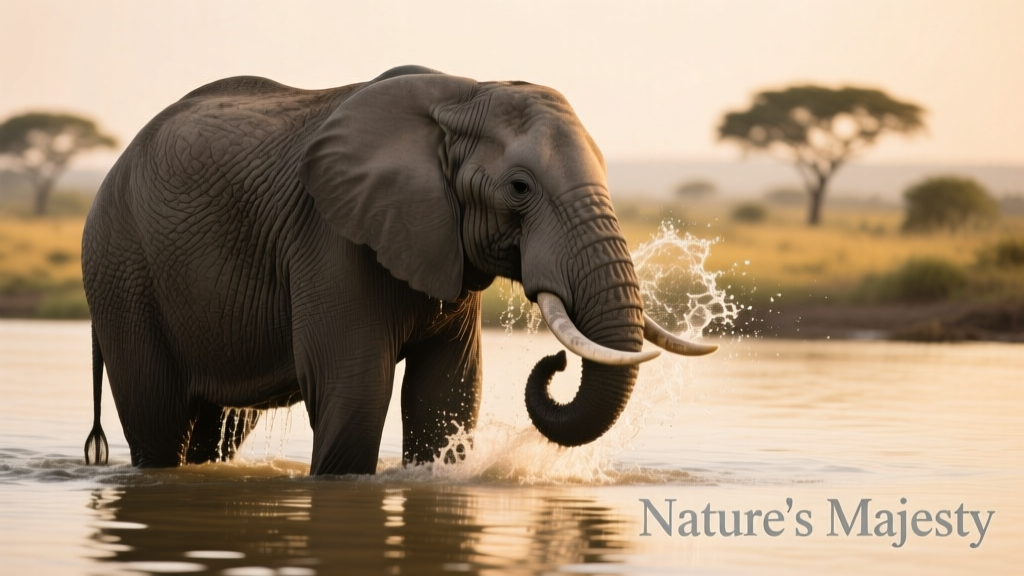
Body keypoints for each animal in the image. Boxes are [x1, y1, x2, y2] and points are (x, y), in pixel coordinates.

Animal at [81, 65, 716, 475]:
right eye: (519, 188)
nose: (554, 362)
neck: (461, 93)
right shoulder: (331, 239)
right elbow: (355, 393)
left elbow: (447, 396)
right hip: (121, 272)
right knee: (159, 421)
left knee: (214, 431)